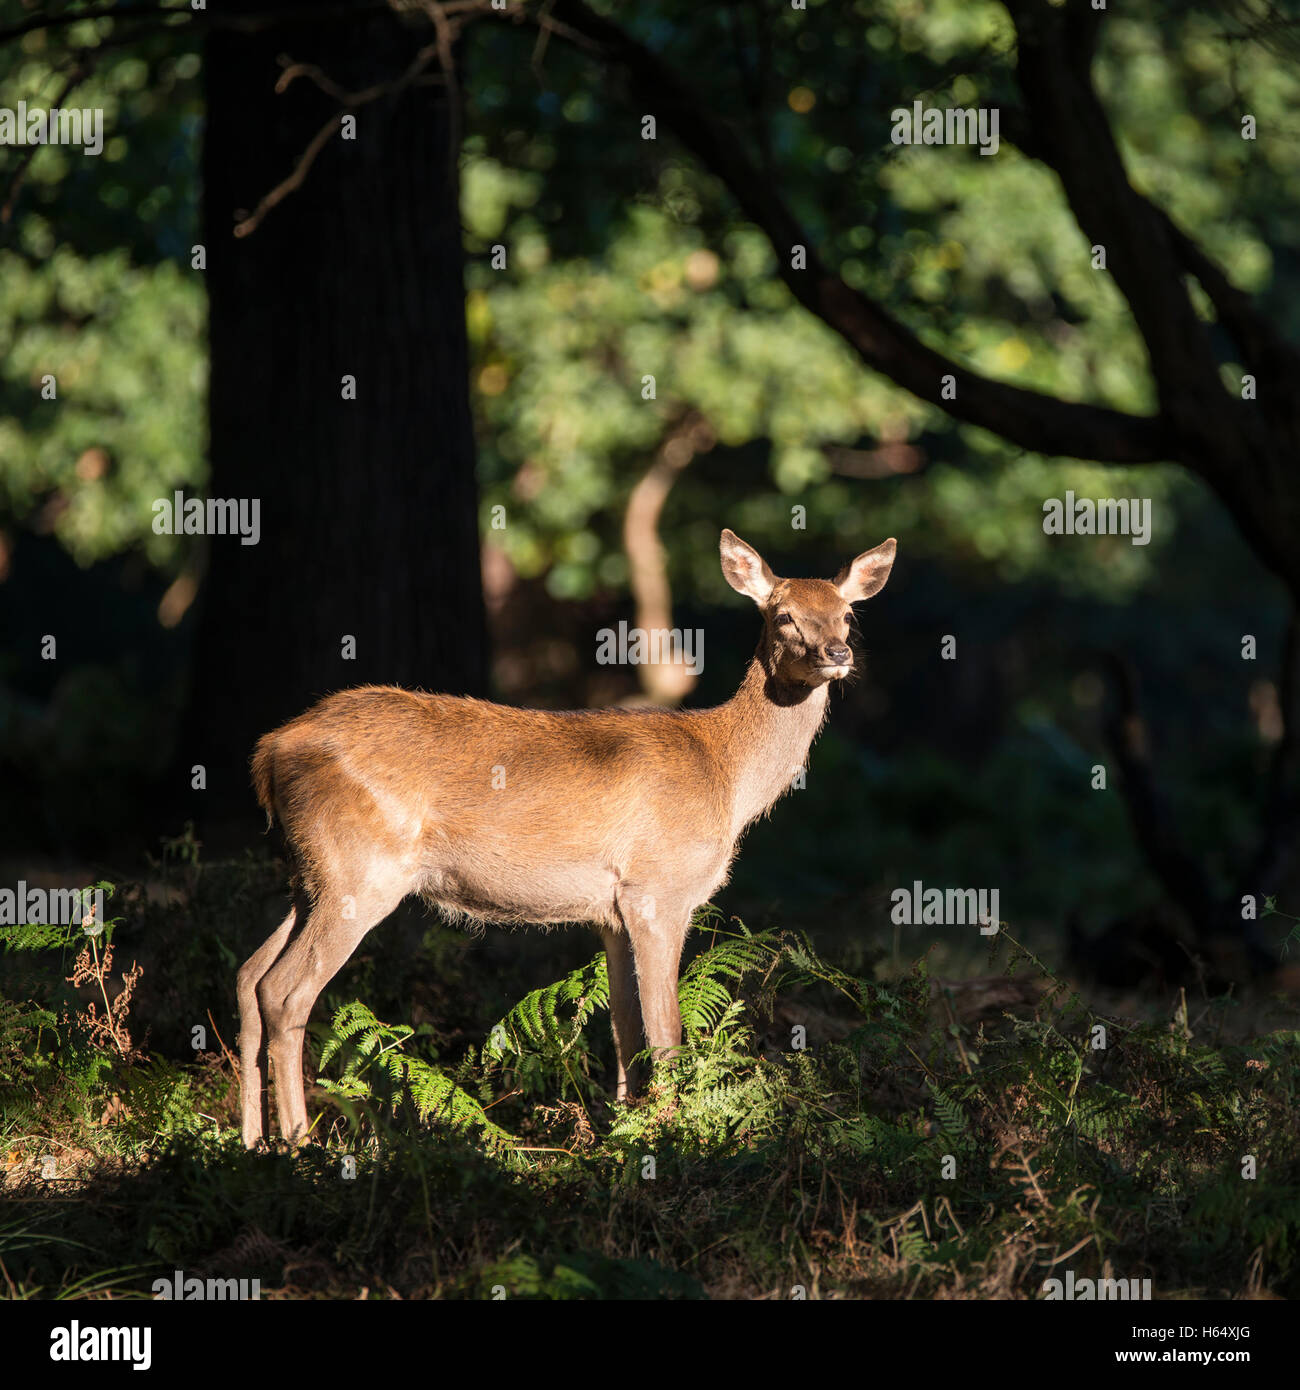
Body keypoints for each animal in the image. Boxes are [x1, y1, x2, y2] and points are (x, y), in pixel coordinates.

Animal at [238, 528, 896, 1147]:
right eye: (783, 615)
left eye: (847, 614)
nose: (838, 652)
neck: (727, 779)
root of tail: (270, 751)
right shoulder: (657, 889)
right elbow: (666, 1031)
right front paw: (675, 1136)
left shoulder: (612, 911)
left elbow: (625, 1028)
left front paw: (624, 1129)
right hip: (361, 871)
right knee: (285, 990)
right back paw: (299, 1143)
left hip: (312, 876)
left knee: (249, 975)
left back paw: (251, 1140)